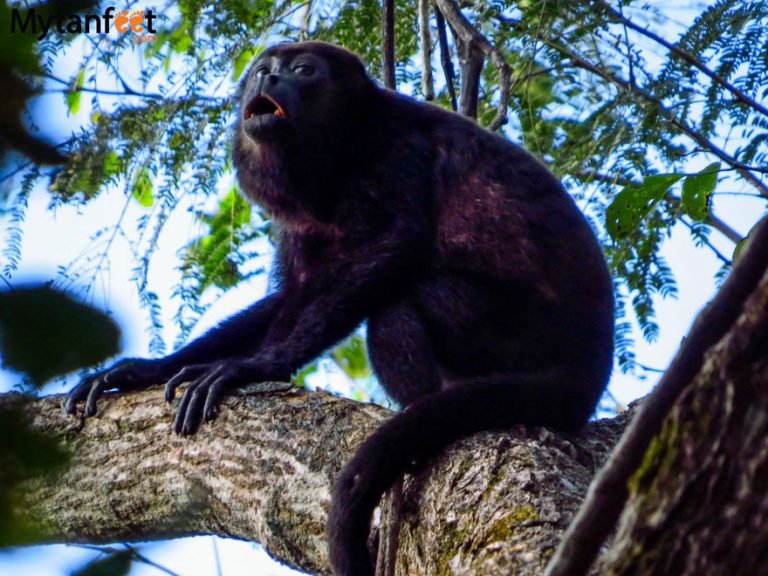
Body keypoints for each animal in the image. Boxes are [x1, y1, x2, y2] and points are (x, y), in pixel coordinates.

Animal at [65, 42, 614, 576]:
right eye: (263, 68)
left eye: (303, 70)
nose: (269, 77)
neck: (338, 150)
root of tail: (592, 368)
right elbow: (293, 293)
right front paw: (145, 369)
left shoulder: (397, 154)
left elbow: (392, 249)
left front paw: (252, 366)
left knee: (400, 308)